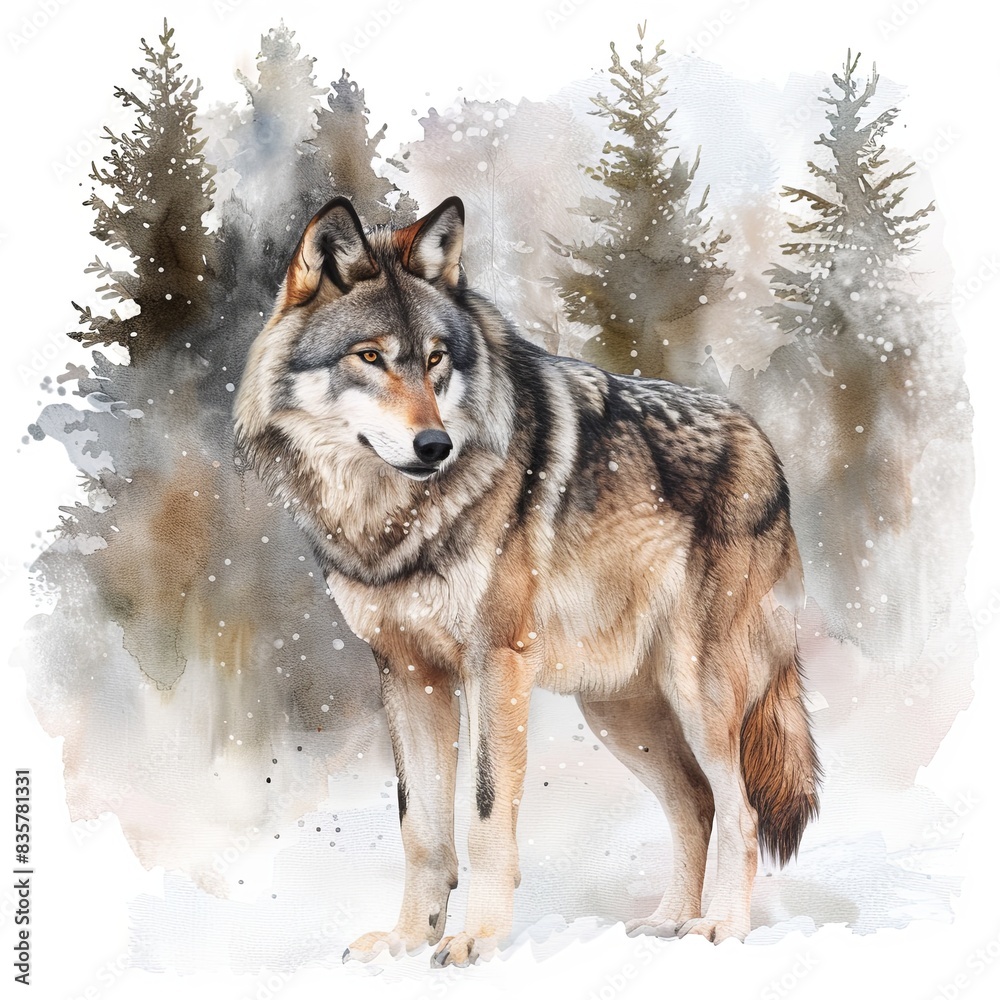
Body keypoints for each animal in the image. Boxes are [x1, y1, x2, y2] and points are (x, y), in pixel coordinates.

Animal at [235, 195, 820, 966]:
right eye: (370, 357)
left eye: (435, 360)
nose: (434, 445)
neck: (390, 521)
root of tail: (768, 451)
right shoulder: (407, 673)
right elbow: (421, 829)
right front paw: (407, 941)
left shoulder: (494, 663)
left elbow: (484, 816)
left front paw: (477, 940)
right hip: (619, 713)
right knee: (695, 803)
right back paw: (664, 925)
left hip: (702, 691)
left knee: (740, 811)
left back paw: (720, 928)